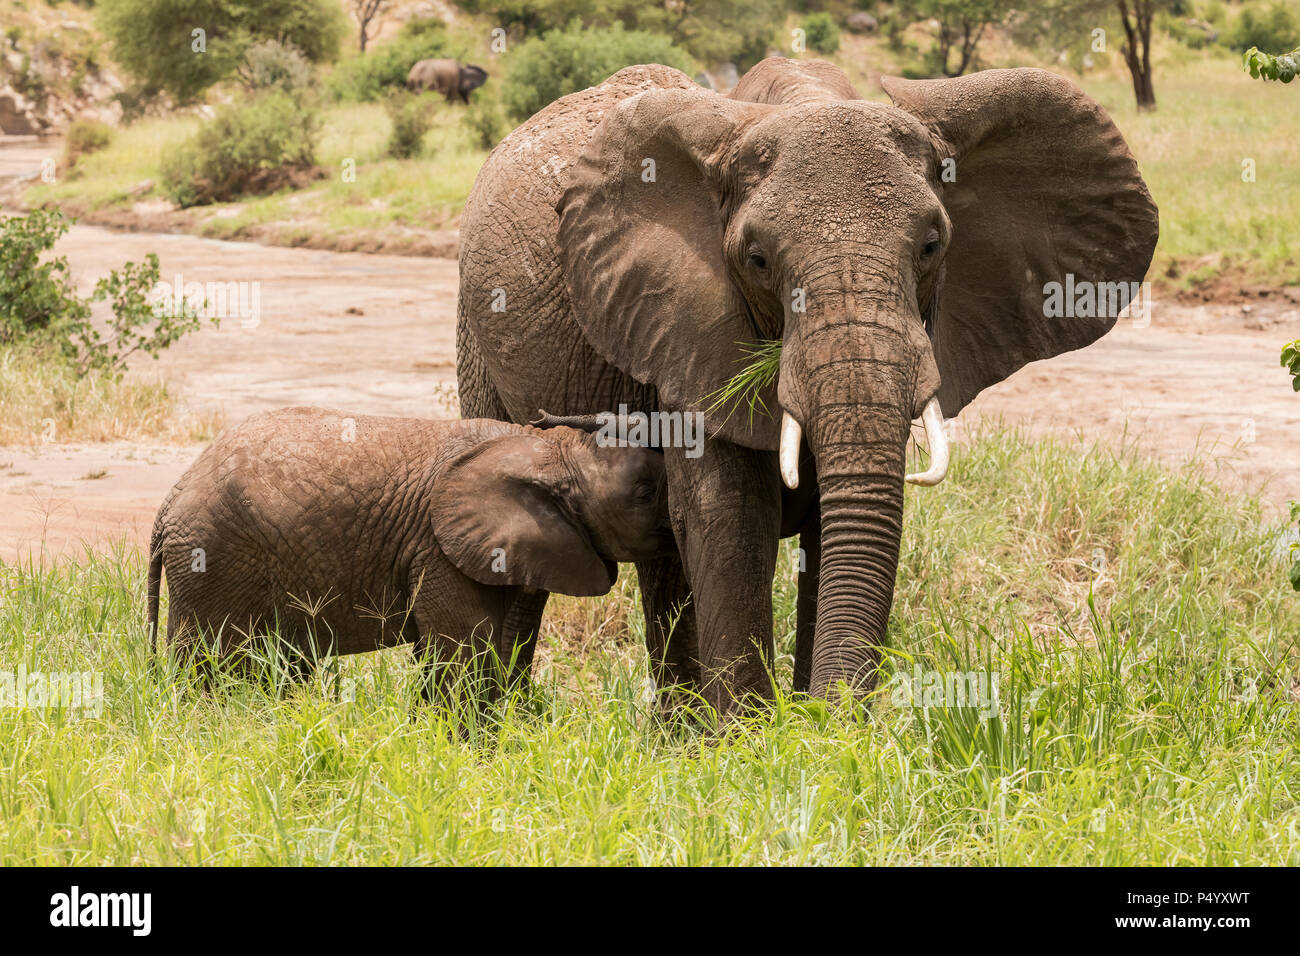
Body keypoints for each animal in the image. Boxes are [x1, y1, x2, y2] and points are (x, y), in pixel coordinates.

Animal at [146, 406, 673, 705]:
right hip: (213, 558)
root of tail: (169, 501)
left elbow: (497, 645)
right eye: (646, 493)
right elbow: (464, 652)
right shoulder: (440, 548)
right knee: (217, 662)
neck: (547, 446)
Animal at [455, 57, 1158, 714]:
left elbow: (834, 525)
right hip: (476, 330)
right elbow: (730, 518)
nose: (829, 711)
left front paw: (816, 730)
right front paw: (751, 739)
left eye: (932, 246)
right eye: (758, 260)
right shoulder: (685, 330)